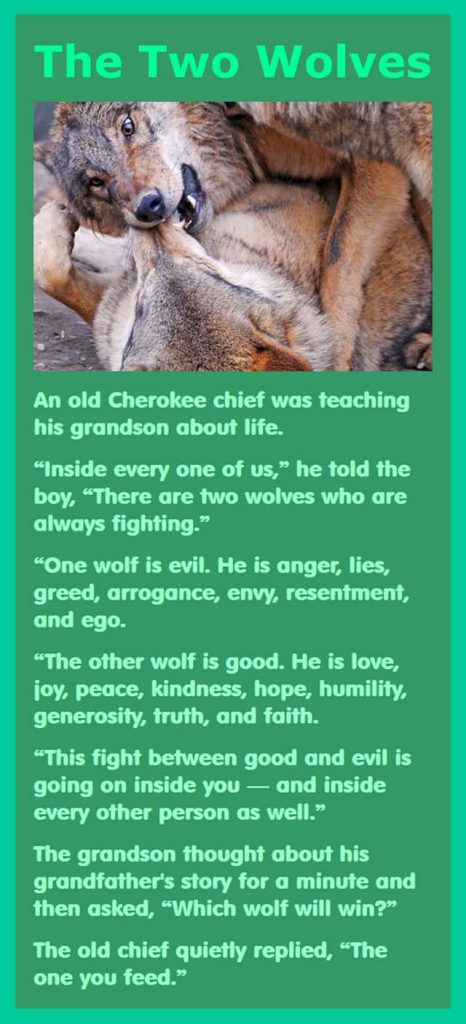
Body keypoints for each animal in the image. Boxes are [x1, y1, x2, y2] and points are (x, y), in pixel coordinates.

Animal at [34, 101, 432, 370]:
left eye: (127, 127)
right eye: (96, 183)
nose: (148, 209)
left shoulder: (372, 162)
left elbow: (337, 271)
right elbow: (55, 275)